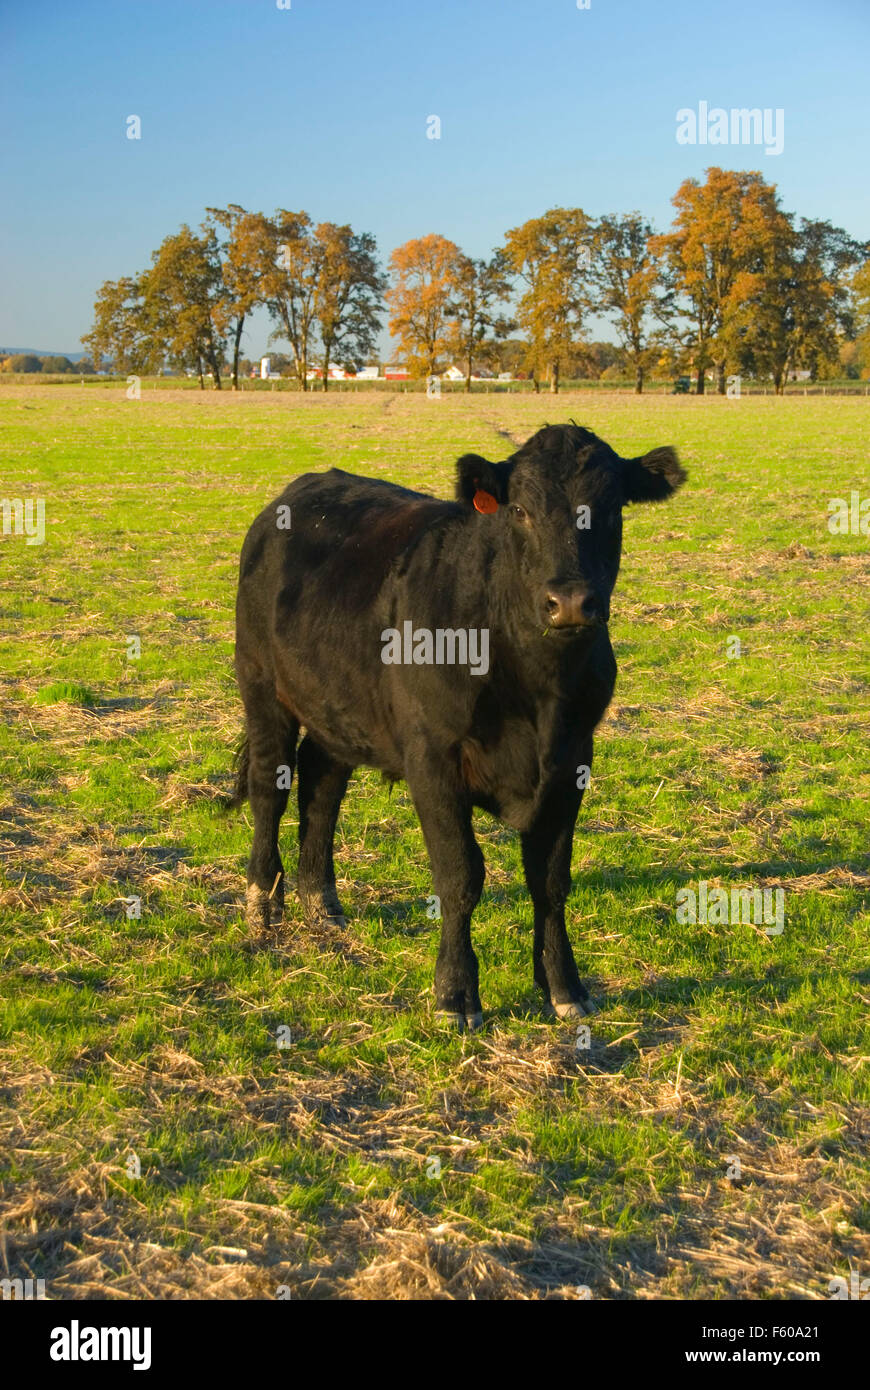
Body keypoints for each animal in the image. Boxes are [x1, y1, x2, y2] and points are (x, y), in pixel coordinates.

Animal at [230, 423, 686, 1029]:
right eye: (519, 509)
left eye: (611, 509)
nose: (569, 602)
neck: (537, 686)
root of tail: (298, 491)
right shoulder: (433, 758)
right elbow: (460, 875)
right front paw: (455, 994)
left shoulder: (573, 762)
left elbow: (550, 880)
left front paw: (564, 985)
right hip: (262, 686)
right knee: (270, 788)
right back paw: (263, 902)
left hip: (338, 707)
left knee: (321, 787)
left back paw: (320, 901)